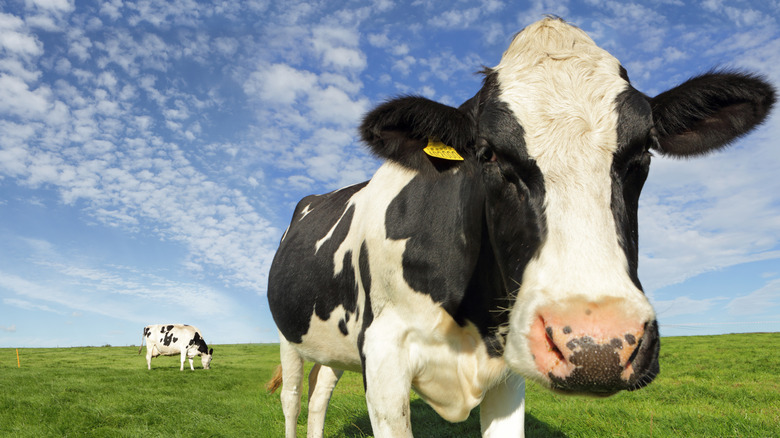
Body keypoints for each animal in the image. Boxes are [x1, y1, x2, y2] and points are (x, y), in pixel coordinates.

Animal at [266, 17, 775, 438]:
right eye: (487, 153)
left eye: (644, 152)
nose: (597, 347)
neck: (469, 318)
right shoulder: (385, 359)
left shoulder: (505, 372)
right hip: (290, 337)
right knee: (293, 399)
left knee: (320, 394)